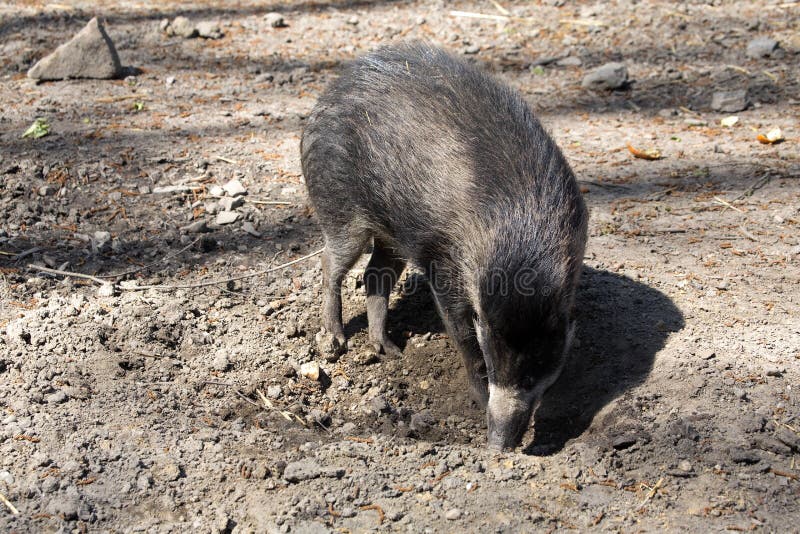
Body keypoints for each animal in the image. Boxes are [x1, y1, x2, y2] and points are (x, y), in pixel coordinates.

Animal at [301, 42, 588, 449]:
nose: (499, 445)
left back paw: (388, 350)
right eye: (494, 362)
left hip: (392, 233)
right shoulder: (441, 261)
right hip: (339, 209)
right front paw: (478, 398)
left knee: (376, 274)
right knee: (330, 264)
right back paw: (338, 341)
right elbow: (463, 337)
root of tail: (326, 95)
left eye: (535, 374)